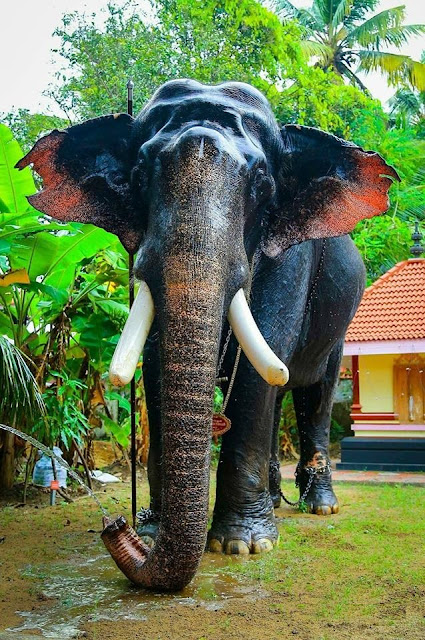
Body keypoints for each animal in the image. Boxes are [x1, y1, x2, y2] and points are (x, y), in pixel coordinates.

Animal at [17, 79, 398, 591]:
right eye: (139, 176)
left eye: (262, 184)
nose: (117, 528)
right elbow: (156, 364)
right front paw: (153, 531)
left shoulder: (289, 258)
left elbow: (261, 366)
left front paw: (243, 545)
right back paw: (275, 502)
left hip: (341, 320)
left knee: (314, 391)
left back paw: (319, 506)